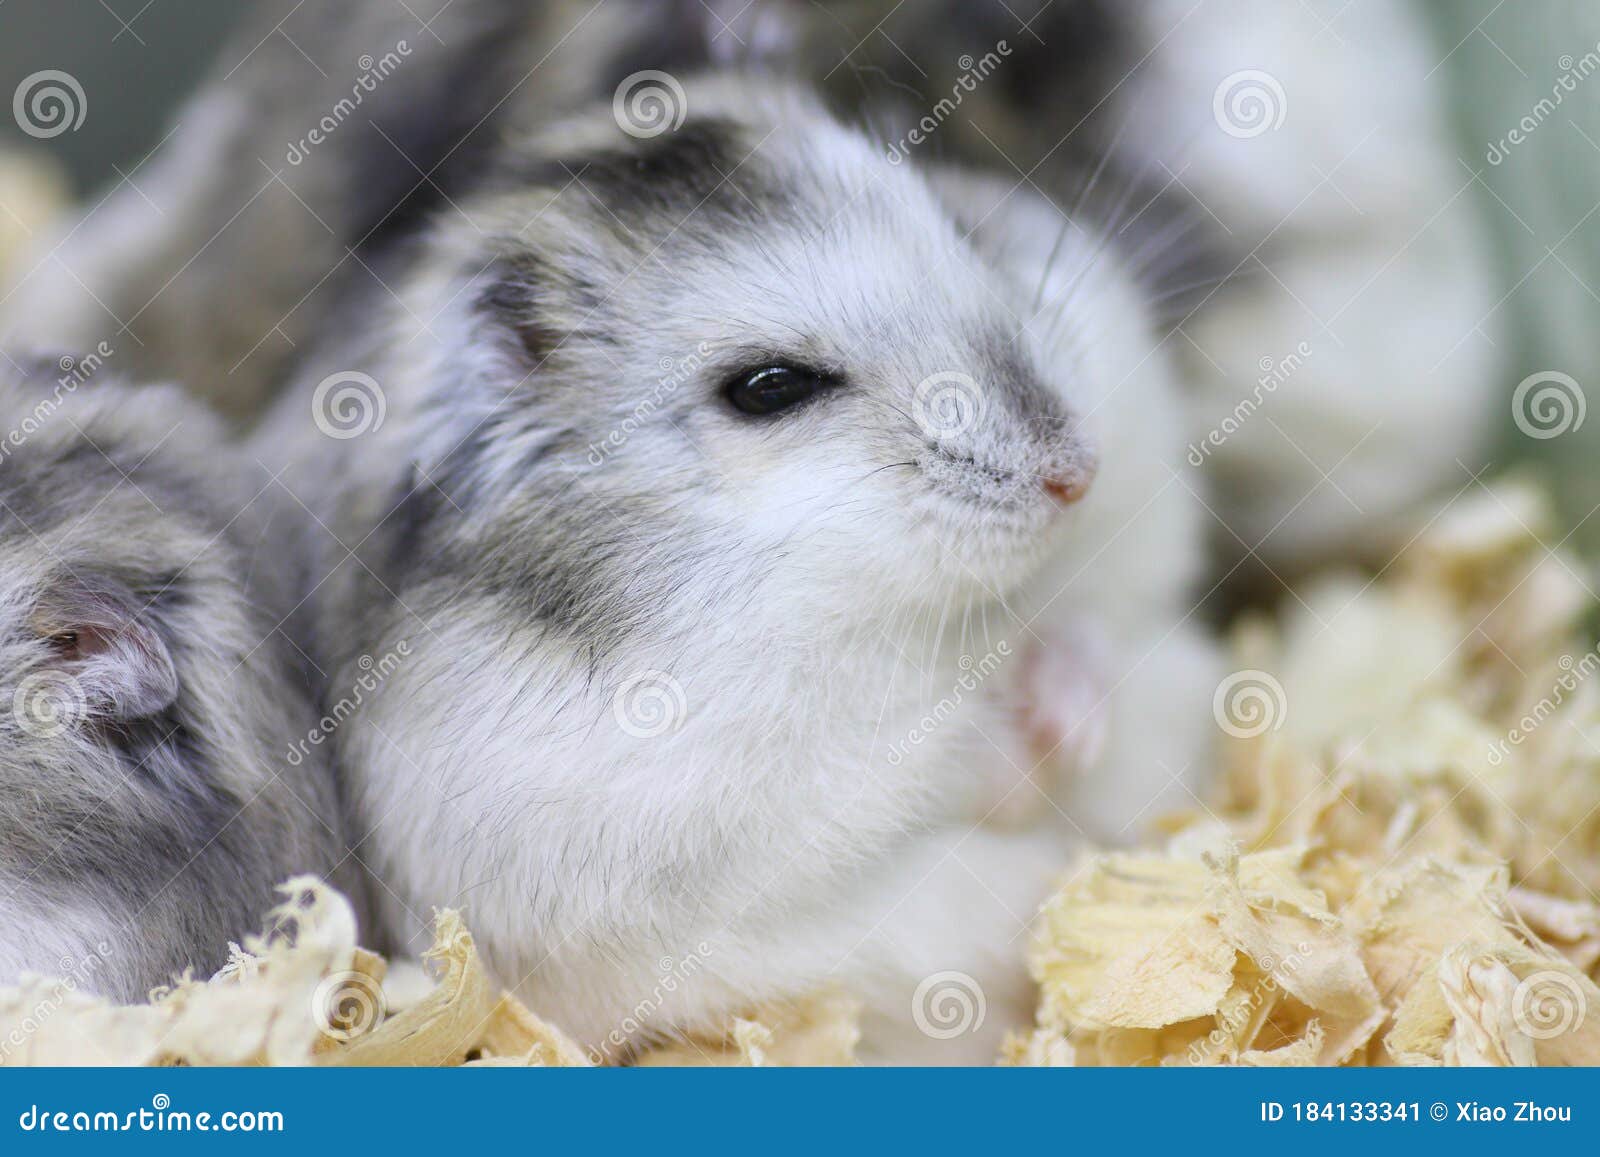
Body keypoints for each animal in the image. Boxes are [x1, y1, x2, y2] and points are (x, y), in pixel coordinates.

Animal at [243, 77, 1217, 1062]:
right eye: (771, 387)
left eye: (961, 228)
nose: (1078, 474)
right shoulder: (696, 794)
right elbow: (912, 765)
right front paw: (1033, 738)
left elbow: (1103, 626)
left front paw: (1076, 708)